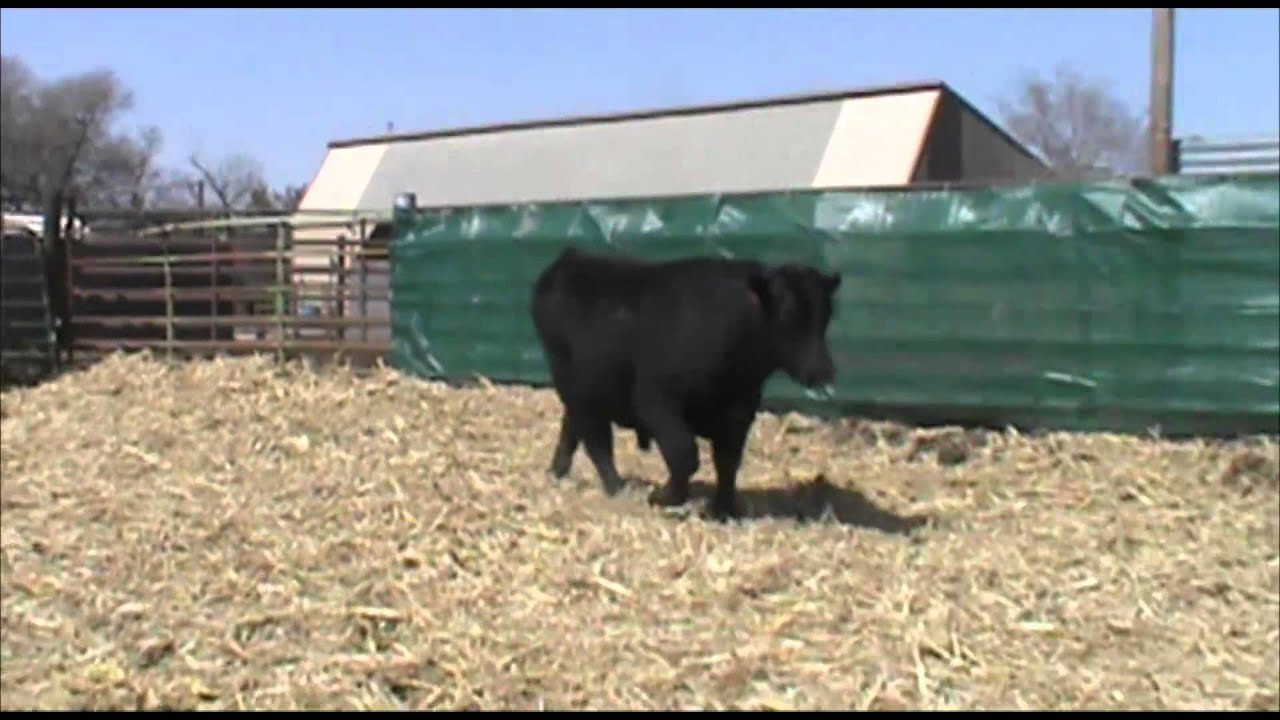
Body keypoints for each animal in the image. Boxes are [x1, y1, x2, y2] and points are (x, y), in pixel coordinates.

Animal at [530, 245, 842, 521]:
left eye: (826, 315)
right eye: (787, 314)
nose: (822, 370)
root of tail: (572, 257)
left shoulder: (738, 415)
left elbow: (728, 462)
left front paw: (724, 510)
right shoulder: (656, 403)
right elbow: (685, 455)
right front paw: (664, 497)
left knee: (573, 427)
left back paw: (558, 471)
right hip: (574, 385)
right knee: (596, 437)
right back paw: (616, 487)